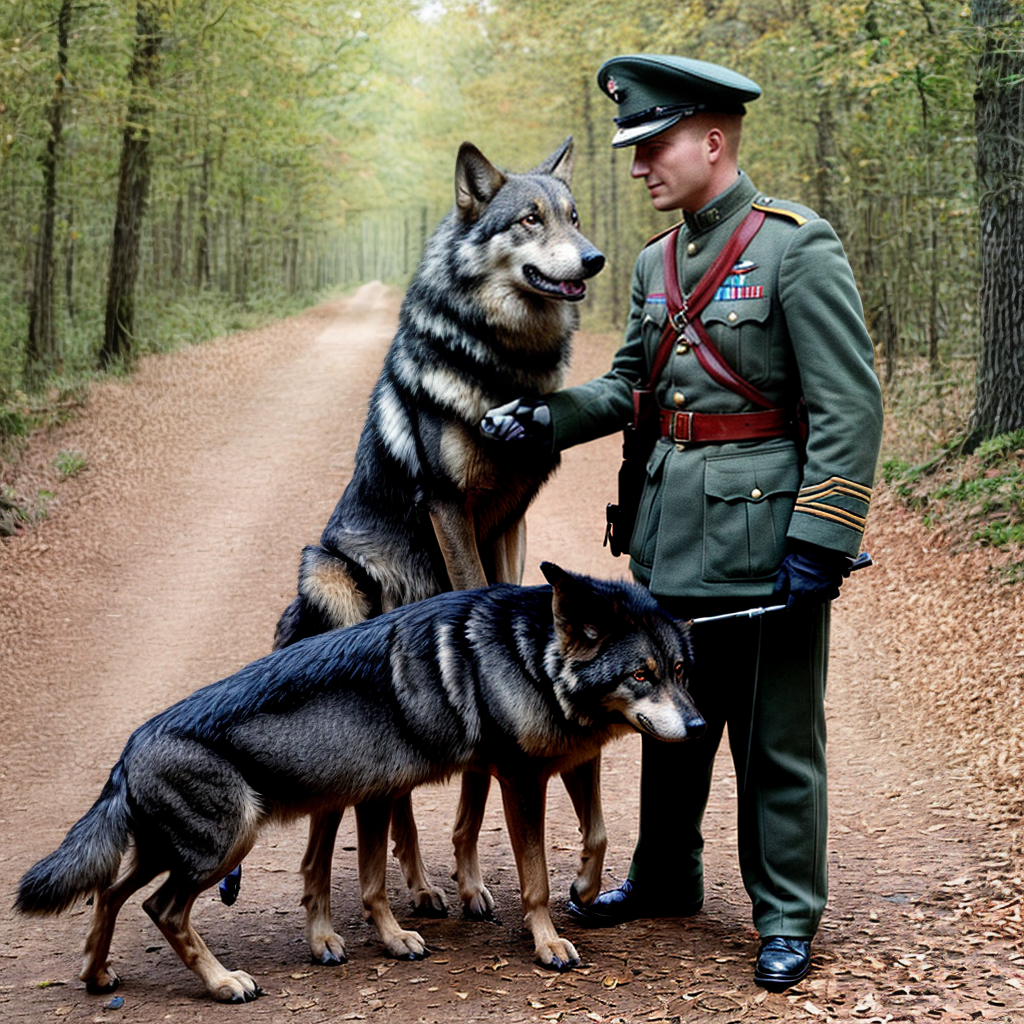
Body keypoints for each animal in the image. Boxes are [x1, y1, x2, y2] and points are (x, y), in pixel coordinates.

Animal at [16, 564, 705, 1003]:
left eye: (678, 670)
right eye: (641, 676)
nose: (700, 726)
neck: (530, 658)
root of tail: (129, 749)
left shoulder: (572, 765)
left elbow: (598, 836)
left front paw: (584, 893)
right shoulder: (519, 782)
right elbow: (532, 879)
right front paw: (548, 944)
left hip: (177, 853)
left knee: (108, 895)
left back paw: (97, 976)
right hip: (219, 852)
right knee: (159, 909)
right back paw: (224, 984)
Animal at [270, 138, 607, 920]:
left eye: (575, 216)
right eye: (530, 219)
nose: (594, 259)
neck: (502, 365)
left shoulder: (511, 517)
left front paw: (471, 875)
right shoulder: (450, 507)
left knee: (394, 792)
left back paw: (424, 886)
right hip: (328, 572)